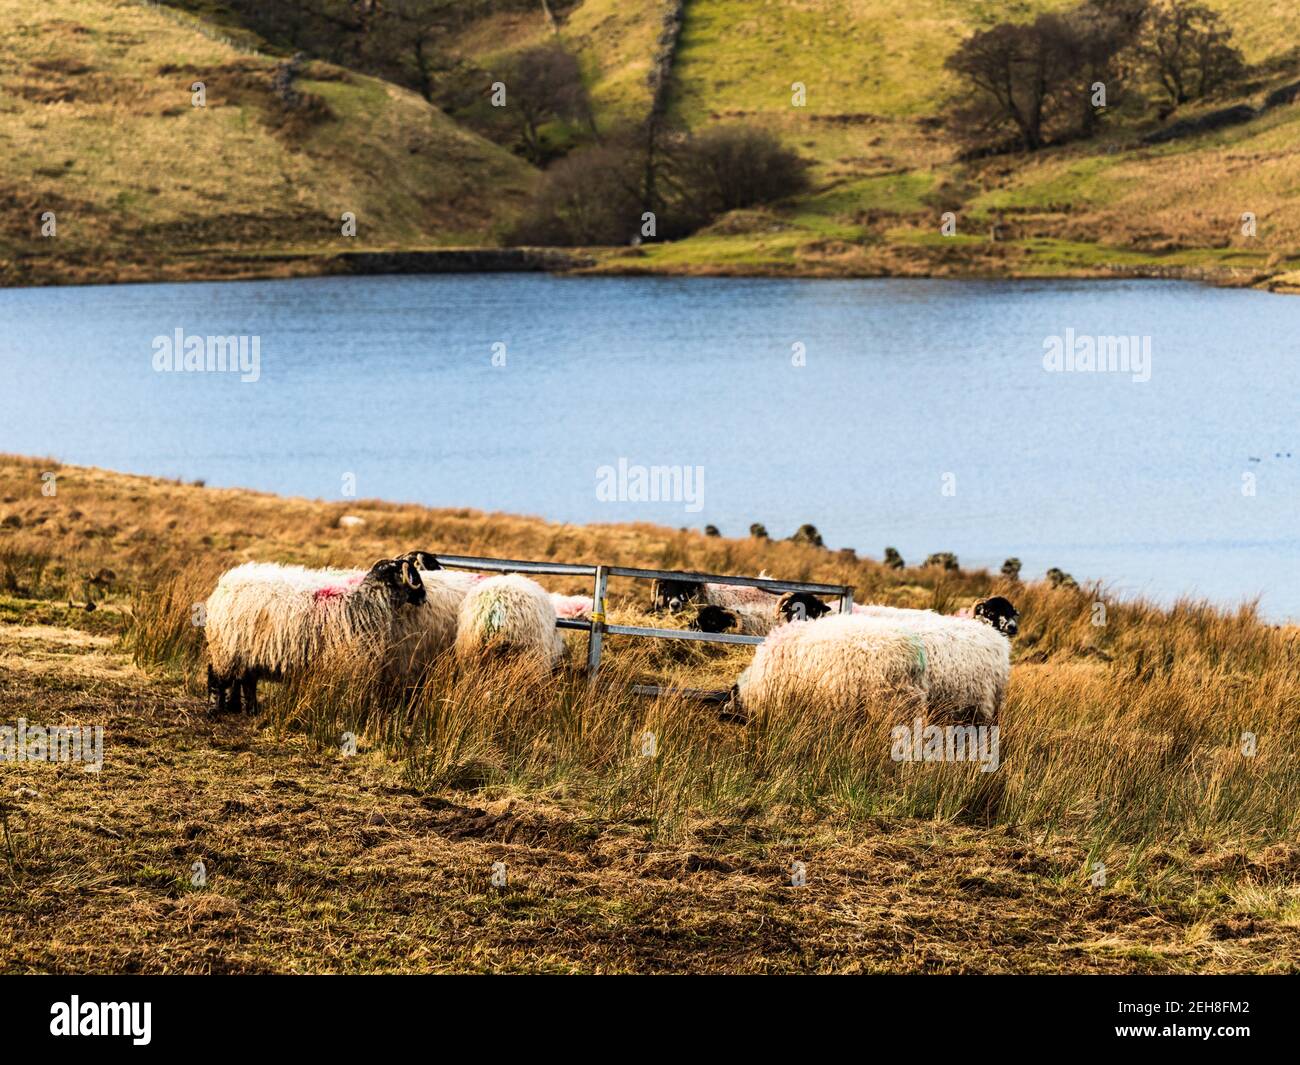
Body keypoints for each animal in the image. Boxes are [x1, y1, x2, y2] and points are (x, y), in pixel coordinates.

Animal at [204, 556, 426, 715]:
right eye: (412, 575)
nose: (424, 597)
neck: (366, 601)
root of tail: (223, 585)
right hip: (225, 648)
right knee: (216, 676)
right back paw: (215, 710)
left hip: (246, 652)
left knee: (247, 681)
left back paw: (251, 711)